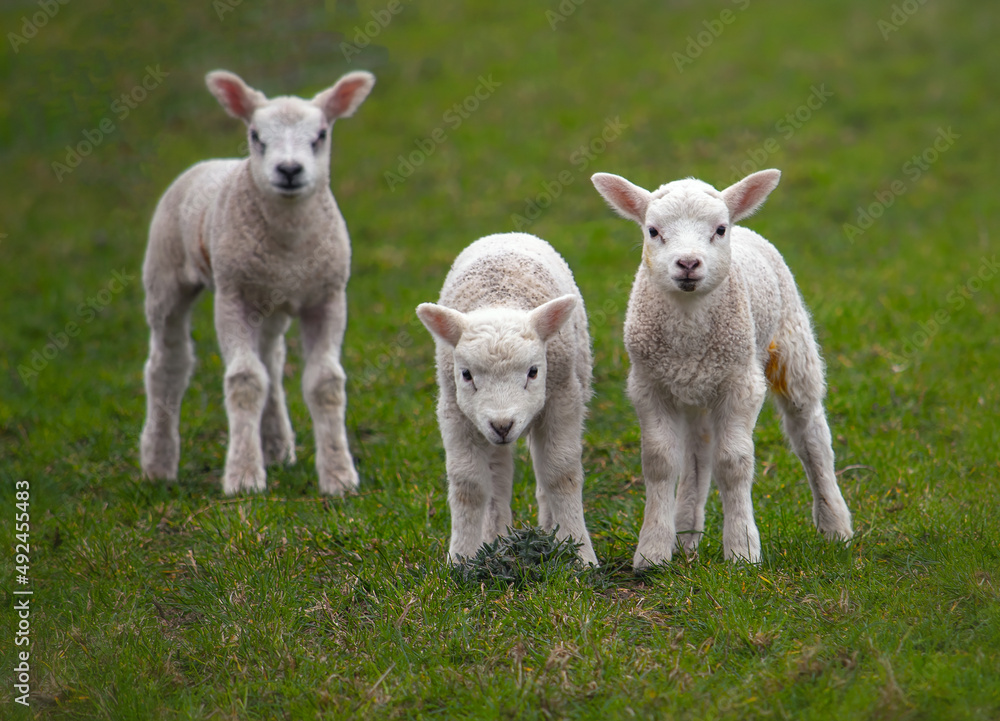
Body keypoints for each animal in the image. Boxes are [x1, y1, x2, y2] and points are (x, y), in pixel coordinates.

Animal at [139, 69, 375, 495]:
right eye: (255, 135)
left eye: (321, 135)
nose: (289, 170)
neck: (289, 247)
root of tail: (210, 163)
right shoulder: (233, 296)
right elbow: (246, 381)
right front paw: (244, 477)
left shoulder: (328, 297)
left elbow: (325, 383)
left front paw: (338, 477)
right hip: (166, 275)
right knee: (168, 363)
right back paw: (158, 462)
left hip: (270, 301)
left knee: (271, 359)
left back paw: (276, 445)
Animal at [416, 233, 599, 566]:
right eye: (466, 374)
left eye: (533, 372)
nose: (503, 425)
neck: (499, 300)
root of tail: (504, 234)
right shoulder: (455, 409)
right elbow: (469, 485)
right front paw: (460, 558)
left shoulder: (563, 397)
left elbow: (560, 473)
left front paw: (580, 555)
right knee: (498, 480)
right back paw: (495, 542)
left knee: (541, 473)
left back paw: (550, 532)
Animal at [590, 168, 853, 569]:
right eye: (653, 230)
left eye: (718, 229)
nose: (688, 263)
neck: (688, 325)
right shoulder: (649, 384)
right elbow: (660, 462)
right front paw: (653, 552)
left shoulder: (741, 383)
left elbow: (733, 463)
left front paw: (743, 550)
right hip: (696, 389)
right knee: (698, 452)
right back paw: (686, 535)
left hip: (792, 348)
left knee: (811, 434)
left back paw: (835, 524)